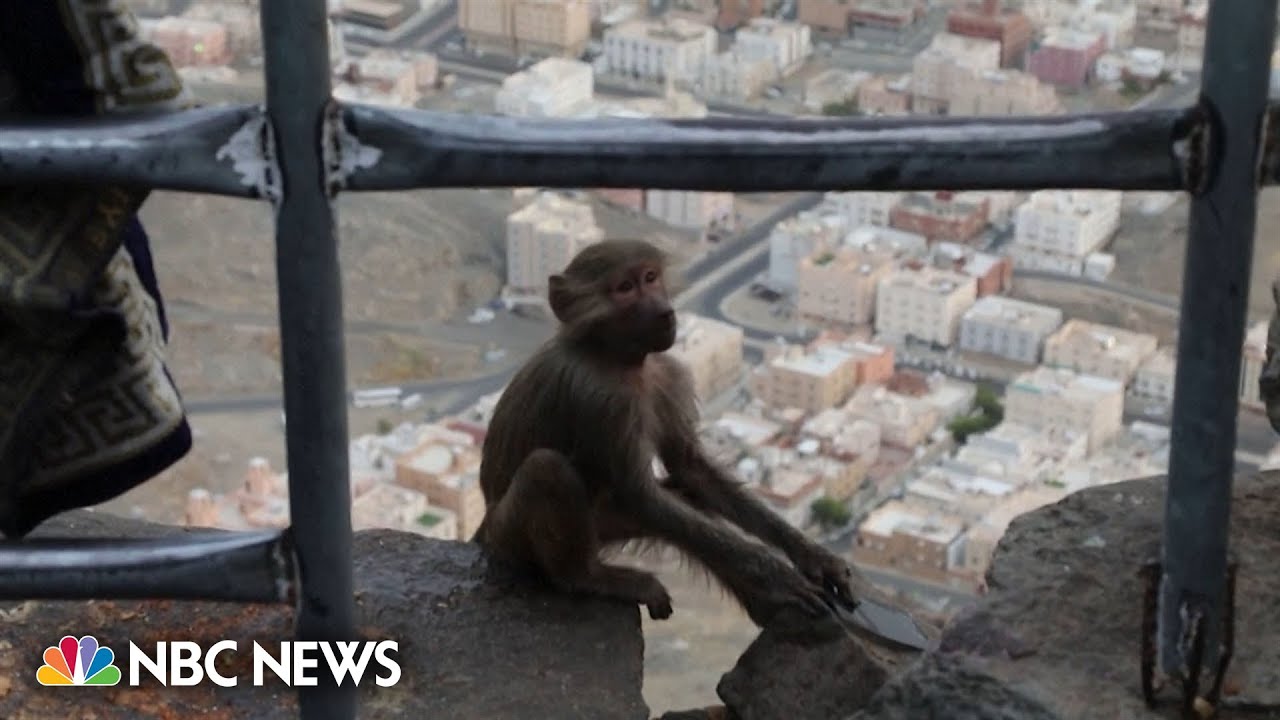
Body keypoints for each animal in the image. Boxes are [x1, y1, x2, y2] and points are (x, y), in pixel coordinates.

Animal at [473, 239, 858, 627]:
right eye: (625, 288)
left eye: (650, 277)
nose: (662, 310)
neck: (617, 358)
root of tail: (484, 532)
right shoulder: (602, 399)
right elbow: (640, 494)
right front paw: (778, 576)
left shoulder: (668, 374)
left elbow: (690, 469)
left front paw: (810, 555)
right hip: (509, 538)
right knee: (547, 469)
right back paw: (585, 576)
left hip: (604, 523)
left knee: (688, 502)